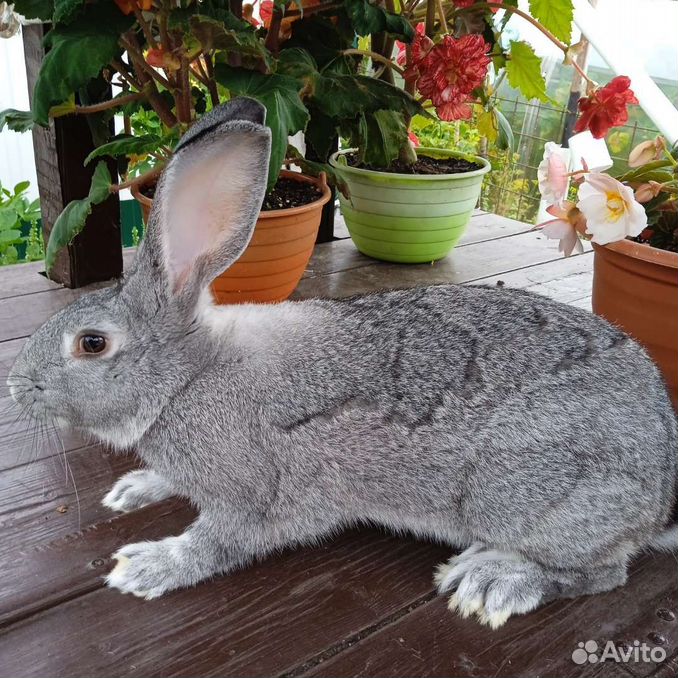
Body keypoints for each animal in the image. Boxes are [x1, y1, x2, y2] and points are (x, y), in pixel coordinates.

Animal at [8, 97, 678, 629]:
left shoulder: (256, 499)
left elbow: (218, 544)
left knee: (603, 572)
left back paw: (493, 582)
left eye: (92, 344)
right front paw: (134, 489)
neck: (187, 377)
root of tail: (660, 492)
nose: (16, 387)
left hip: (520, 495)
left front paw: (145, 566)